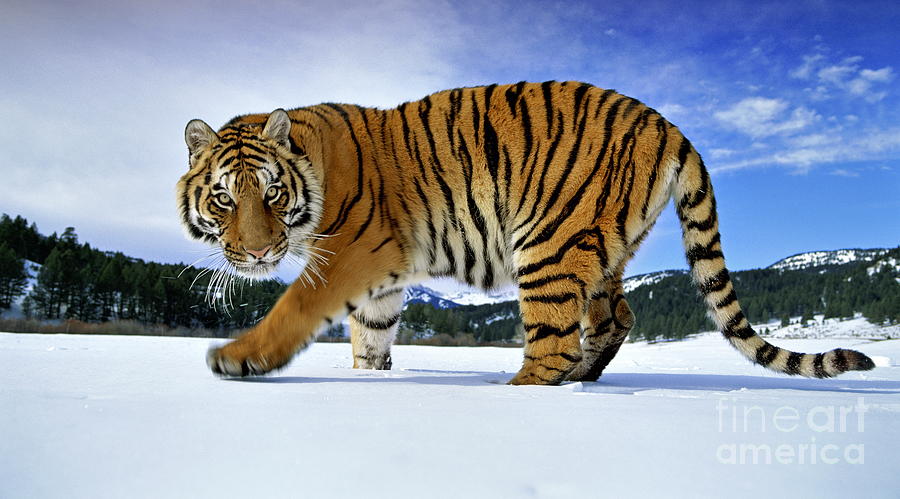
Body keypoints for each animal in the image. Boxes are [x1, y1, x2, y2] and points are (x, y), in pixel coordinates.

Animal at [177, 81, 875, 384]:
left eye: (271, 193)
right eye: (224, 197)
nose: (258, 251)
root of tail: (670, 125)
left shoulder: (352, 253)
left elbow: (294, 307)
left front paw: (237, 358)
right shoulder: (382, 278)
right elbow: (370, 335)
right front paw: (373, 381)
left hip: (547, 245)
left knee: (555, 343)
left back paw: (523, 390)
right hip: (601, 249)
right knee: (616, 316)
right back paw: (583, 378)